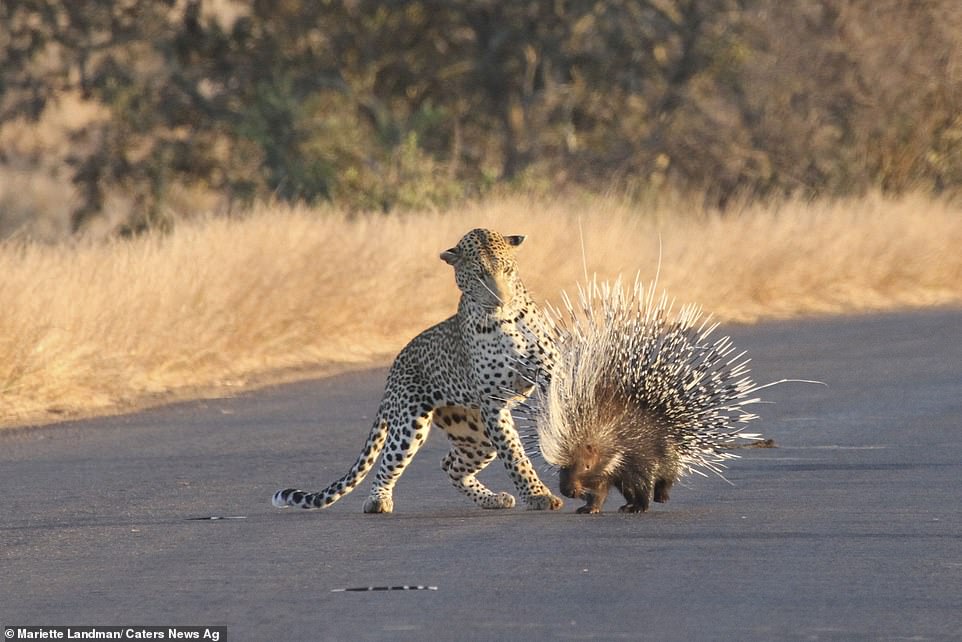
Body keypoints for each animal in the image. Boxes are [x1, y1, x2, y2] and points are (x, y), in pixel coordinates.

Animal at [272, 228, 564, 512]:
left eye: (508, 270)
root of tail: (396, 365)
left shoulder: (549, 373)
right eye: (479, 275)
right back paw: (377, 501)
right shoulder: (493, 401)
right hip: (410, 423)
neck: (506, 321)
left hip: (475, 434)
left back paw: (492, 499)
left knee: (450, 465)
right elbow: (514, 454)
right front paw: (538, 496)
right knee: (390, 463)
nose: (501, 300)